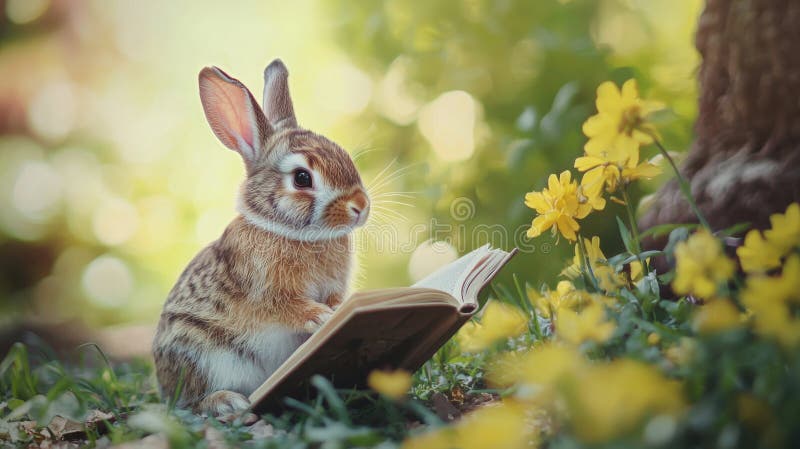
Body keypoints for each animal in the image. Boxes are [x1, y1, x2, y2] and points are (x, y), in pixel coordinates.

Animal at [151, 59, 370, 418]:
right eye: (302, 178)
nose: (361, 207)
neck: (290, 232)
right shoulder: (265, 290)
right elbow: (287, 307)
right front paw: (321, 317)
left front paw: (340, 309)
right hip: (201, 354)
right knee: (192, 402)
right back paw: (226, 401)